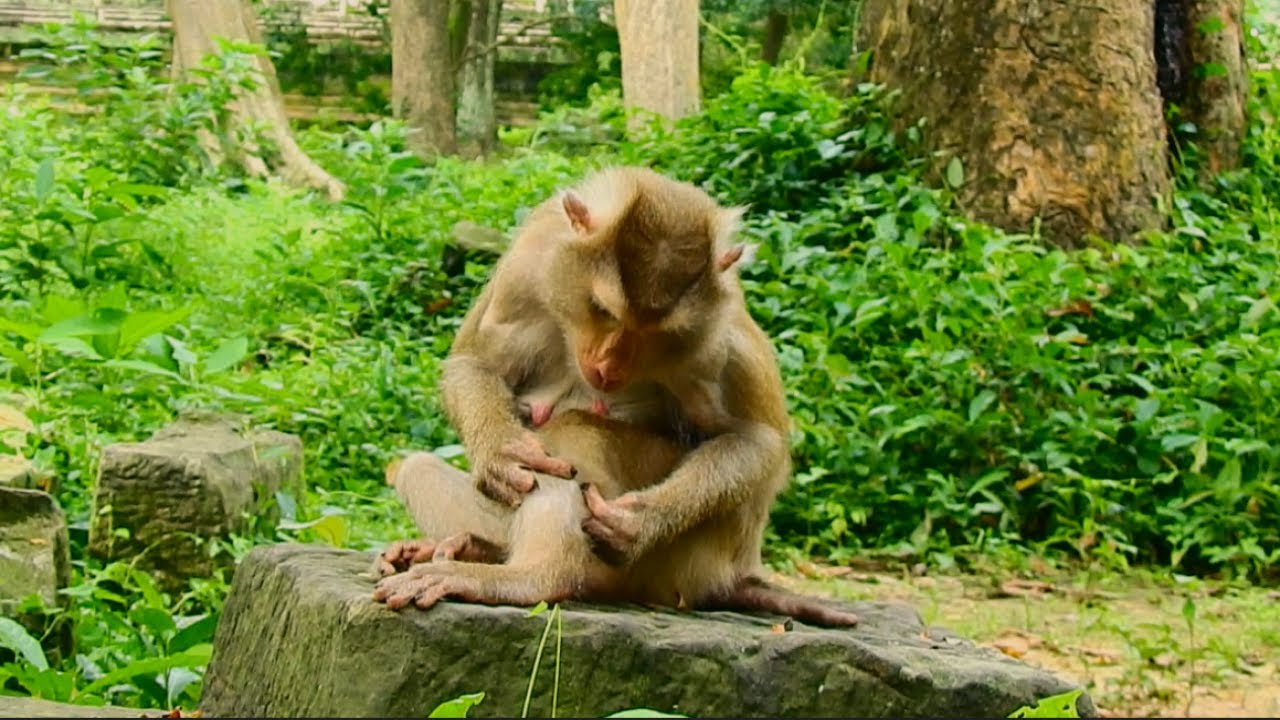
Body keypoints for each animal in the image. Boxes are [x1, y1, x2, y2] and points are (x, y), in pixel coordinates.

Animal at [373, 166, 859, 627]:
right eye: (603, 310)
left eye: (655, 334)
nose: (609, 367)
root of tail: (734, 574)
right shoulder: (528, 265)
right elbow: (477, 363)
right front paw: (501, 453)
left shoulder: (719, 343)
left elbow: (753, 439)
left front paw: (639, 523)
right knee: (414, 468)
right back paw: (472, 550)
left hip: (686, 561)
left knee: (573, 432)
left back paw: (532, 576)